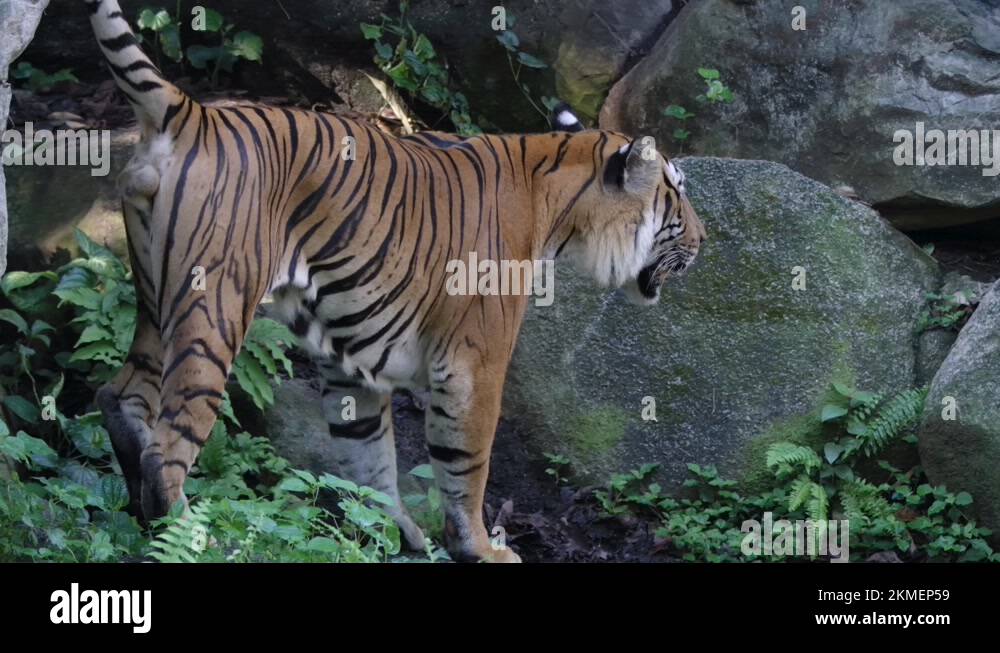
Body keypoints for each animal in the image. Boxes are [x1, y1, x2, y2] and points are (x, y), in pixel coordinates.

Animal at [85, 0, 706, 562]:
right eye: (676, 191)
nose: (704, 241)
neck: (557, 200)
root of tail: (189, 109)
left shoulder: (345, 358)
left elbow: (367, 458)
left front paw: (389, 535)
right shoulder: (476, 359)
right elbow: (466, 463)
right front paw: (480, 548)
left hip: (154, 302)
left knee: (120, 397)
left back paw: (140, 517)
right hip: (213, 308)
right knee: (167, 446)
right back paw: (195, 538)